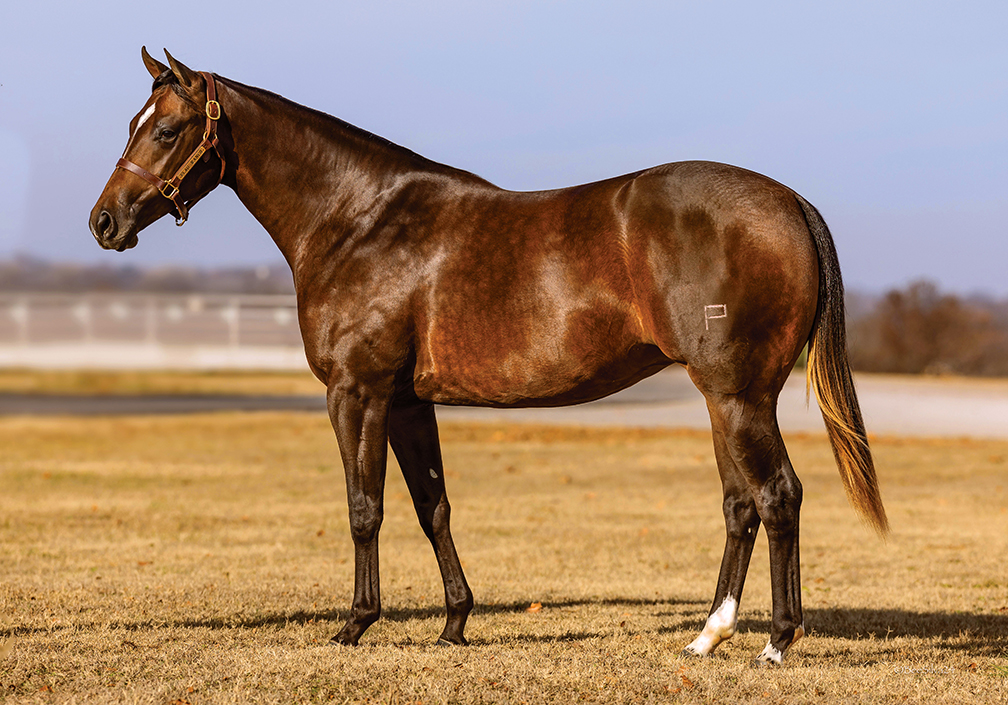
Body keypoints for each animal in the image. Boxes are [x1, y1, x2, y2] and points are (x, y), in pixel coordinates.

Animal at [89, 48, 887, 665]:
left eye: (167, 128)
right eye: (132, 124)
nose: (104, 221)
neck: (359, 221)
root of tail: (787, 202)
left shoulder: (357, 392)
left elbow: (365, 507)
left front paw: (355, 624)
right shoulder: (408, 402)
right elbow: (432, 506)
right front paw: (453, 623)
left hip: (738, 395)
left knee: (777, 495)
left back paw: (777, 642)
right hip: (724, 398)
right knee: (740, 505)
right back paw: (707, 636)